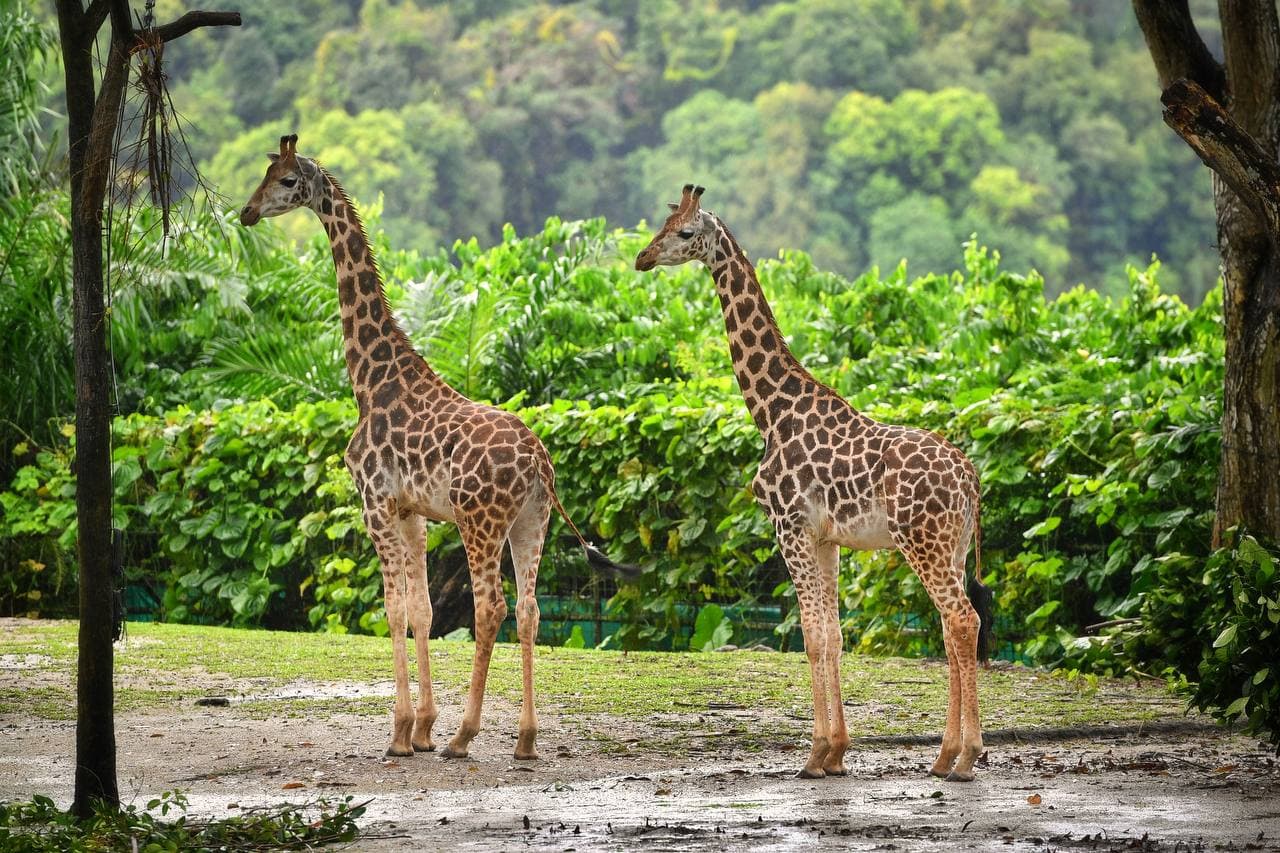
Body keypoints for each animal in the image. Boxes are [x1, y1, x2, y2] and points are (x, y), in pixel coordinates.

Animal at [239, 134, 630, 761]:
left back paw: (465, 736)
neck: (370, 382)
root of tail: (540, 463)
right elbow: (421, 610)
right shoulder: (412, 511)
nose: (247, 211)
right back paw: (524, 740)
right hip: (531, 521)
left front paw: (401, 732)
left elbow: (394, 607)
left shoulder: (374, 501)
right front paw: (421, 727)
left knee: (491, 607)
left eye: (285, 181)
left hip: (479, 519)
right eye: (265, 174)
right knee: (529, 610)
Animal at [635, 185, 994, 781]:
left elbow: (811, 635)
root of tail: (969, 478)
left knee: (963, 620)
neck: (770, 412)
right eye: (661, 225)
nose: (642, 258)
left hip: (922, 541)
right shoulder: (826, 539)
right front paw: (837, 753)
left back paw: (966, 758)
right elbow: (834, 636)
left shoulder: (790, 527)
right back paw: (945, 755)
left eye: (684, 233)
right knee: (951, 627)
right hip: (954, 546)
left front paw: (815, 753)